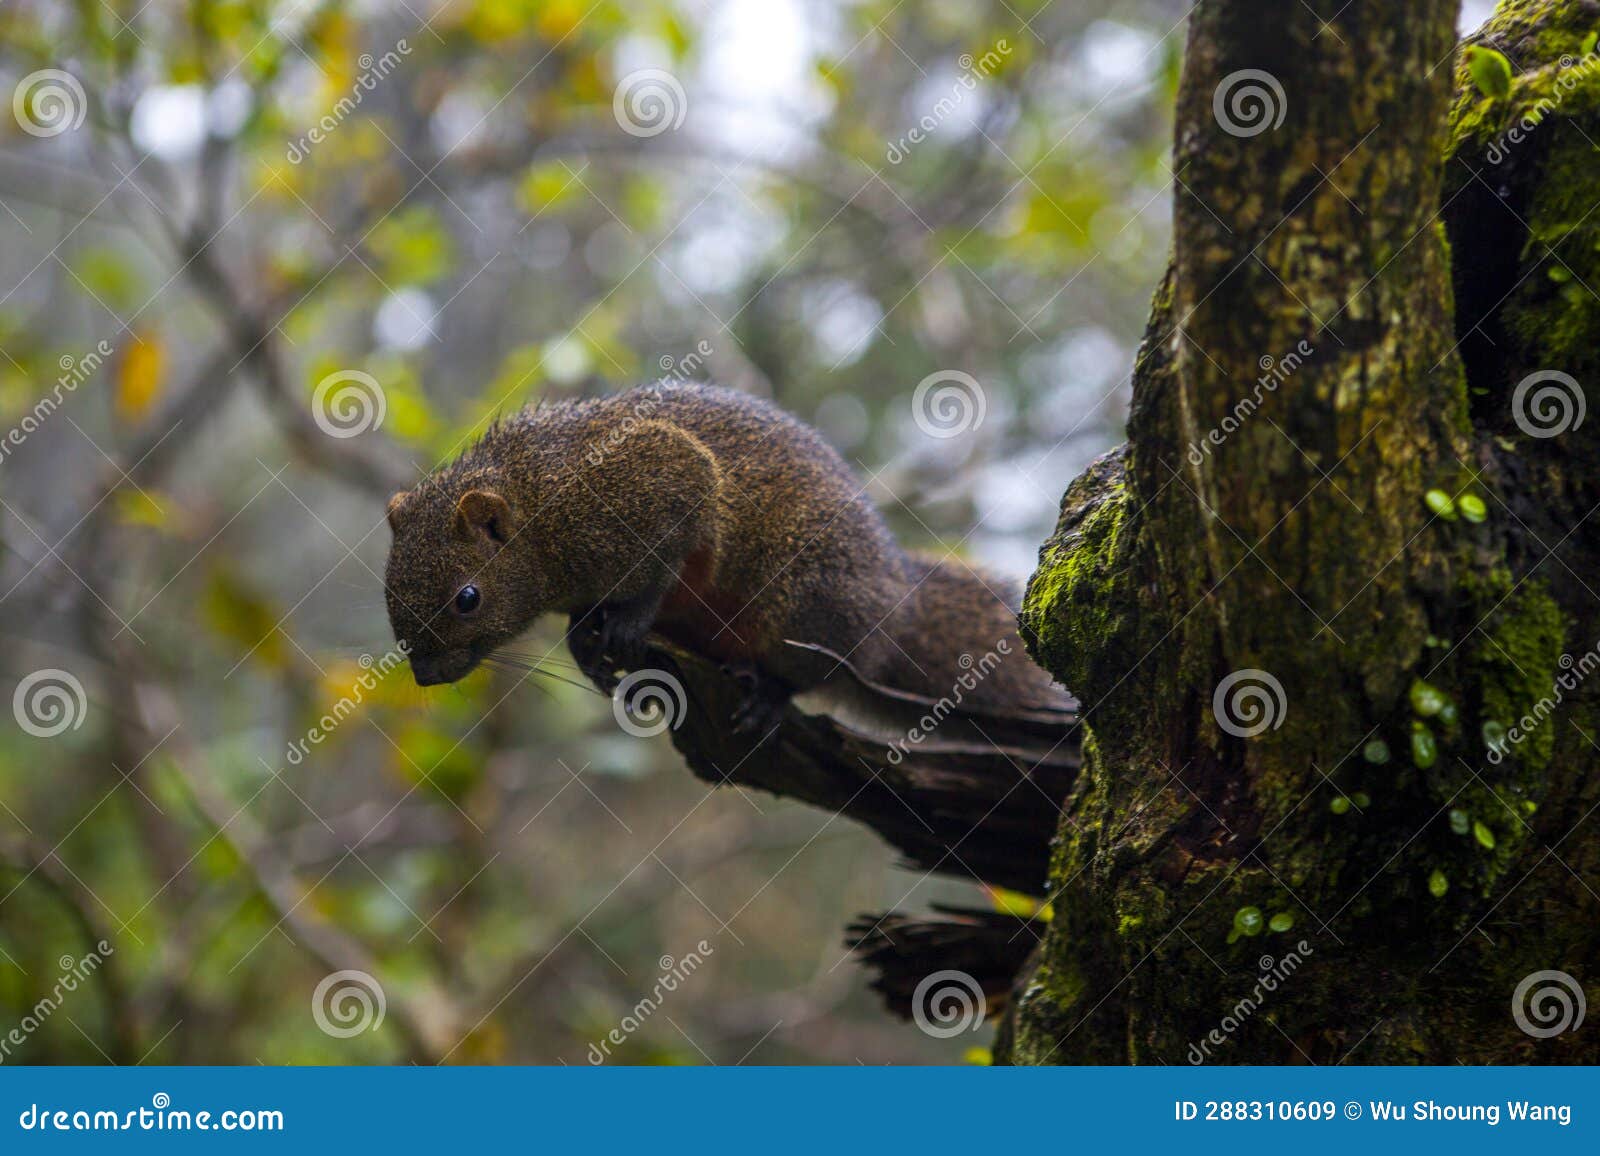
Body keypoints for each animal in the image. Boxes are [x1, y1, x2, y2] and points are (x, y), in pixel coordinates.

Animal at [383, 383, 1070, 733]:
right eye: (386, 586)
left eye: (467, 597)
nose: (426, 675)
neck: (538, 506)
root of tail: (896, 605)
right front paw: (584, 643)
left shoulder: (664, 479)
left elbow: (664, 565)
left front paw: (627, 624)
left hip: (807, 607)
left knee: (810, 673)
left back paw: (768, 697)